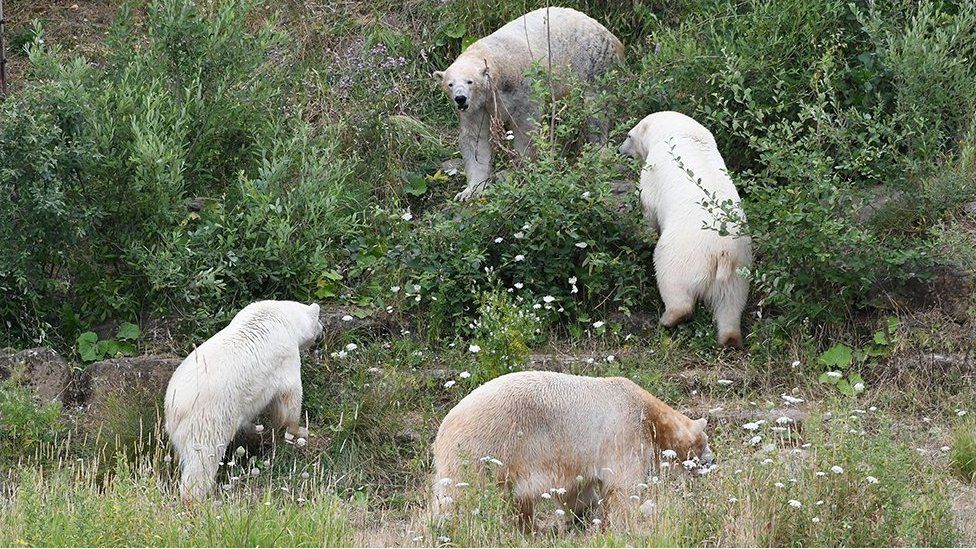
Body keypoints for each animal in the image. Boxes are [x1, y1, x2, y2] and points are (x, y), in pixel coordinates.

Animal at [164, 300, 323, 503]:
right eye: (318, 320)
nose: (321, 332)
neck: (282, 316)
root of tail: (174, 408)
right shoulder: (286, 356)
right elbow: (289, 396)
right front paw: (299, 430)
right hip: (207, 419)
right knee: (202, 460)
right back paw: (195, 498)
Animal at [431, 370, 713, 530]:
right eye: (705, 441)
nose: (711, 462)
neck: (647, 412)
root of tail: (443, 428)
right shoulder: (624, 433)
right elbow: (623, 486)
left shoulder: (579, 458)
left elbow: (578, 492)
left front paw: (582, 519)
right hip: (485, 448)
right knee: (459, 496)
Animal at [433, 7, 624, 201]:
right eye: (450, 84)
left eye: (470, 81)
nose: (460, 98)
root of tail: (609, 34)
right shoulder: (477, 107)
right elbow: (475, 140)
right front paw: (469, 191)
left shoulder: (523, 89)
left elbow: (525, 129)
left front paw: (520, 172)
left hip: (593, 63)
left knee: (597, 110)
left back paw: (598, 151)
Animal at [618, 111, 753, 348]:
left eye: (629, 136)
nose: (619, 149)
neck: (681, 134)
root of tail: (722, 252)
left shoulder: (653, 171)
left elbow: (648, 207)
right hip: (739, 268)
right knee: (730, 303)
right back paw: (730, 339)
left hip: (683, 256)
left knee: (671, 280)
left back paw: (669, 318)